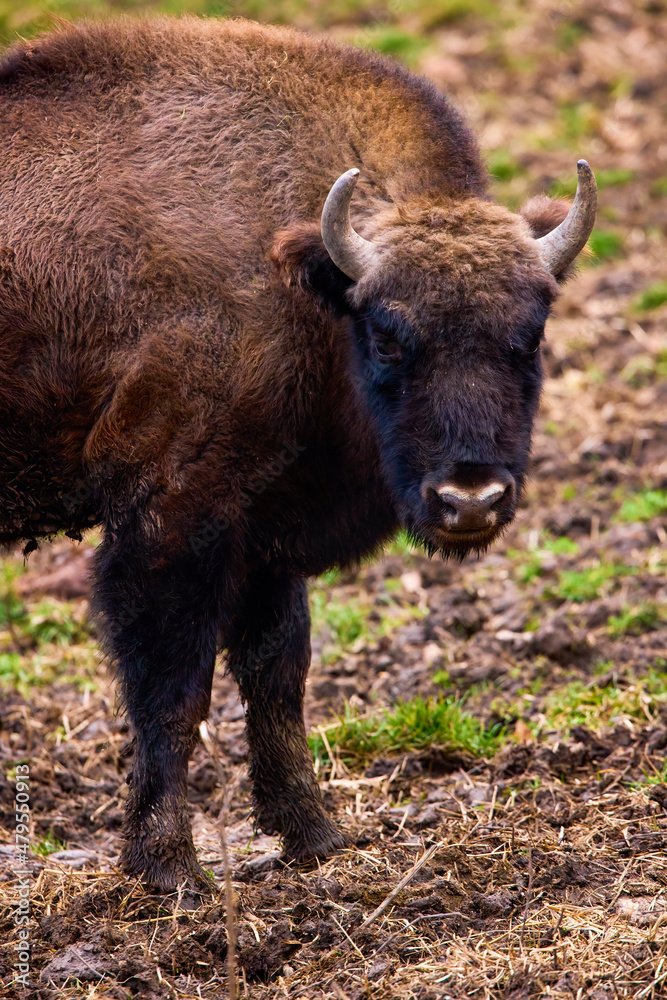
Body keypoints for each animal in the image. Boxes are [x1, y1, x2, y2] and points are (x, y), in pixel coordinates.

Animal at [0, 16, 596, 890]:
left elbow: (277, 677)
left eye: (530, 335)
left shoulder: (264, 529)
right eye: (386, 333)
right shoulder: (171, 519)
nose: (470, 499)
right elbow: (173, 692)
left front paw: (315, 837)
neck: (301, 283)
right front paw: (169, 868)